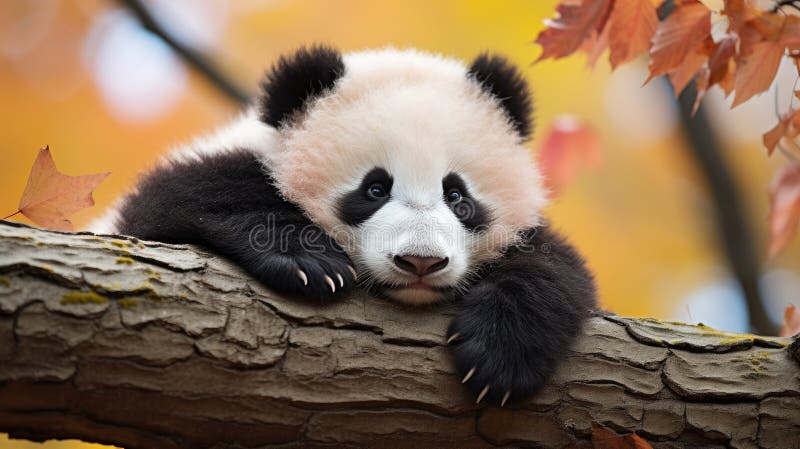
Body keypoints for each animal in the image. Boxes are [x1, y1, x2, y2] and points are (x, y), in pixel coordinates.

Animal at [92, 45, 597, 406]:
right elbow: (188, 197)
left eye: (457, 196)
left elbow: (553, 268)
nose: (420, 262)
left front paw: (498, 353)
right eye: (374, 189)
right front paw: (308, 261)